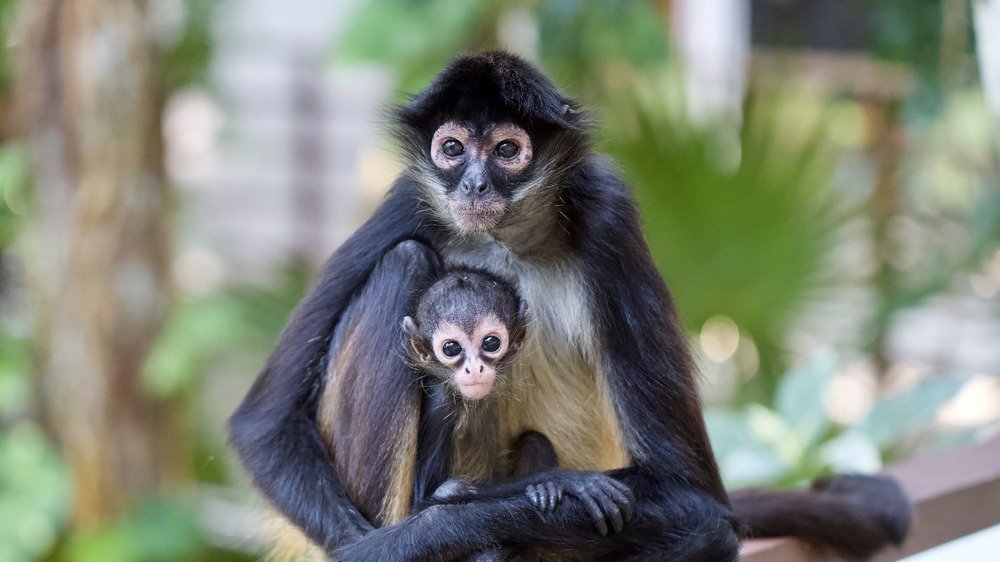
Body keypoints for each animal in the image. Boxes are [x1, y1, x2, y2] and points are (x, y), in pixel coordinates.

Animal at [229, 51, 911, 561]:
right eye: (453, 149)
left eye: (507, 151)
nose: (473, 182)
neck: (506, 240)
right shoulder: (407, 199)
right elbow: (263, 424)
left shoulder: (608, 209)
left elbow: (694, 496)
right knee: (405, 260)